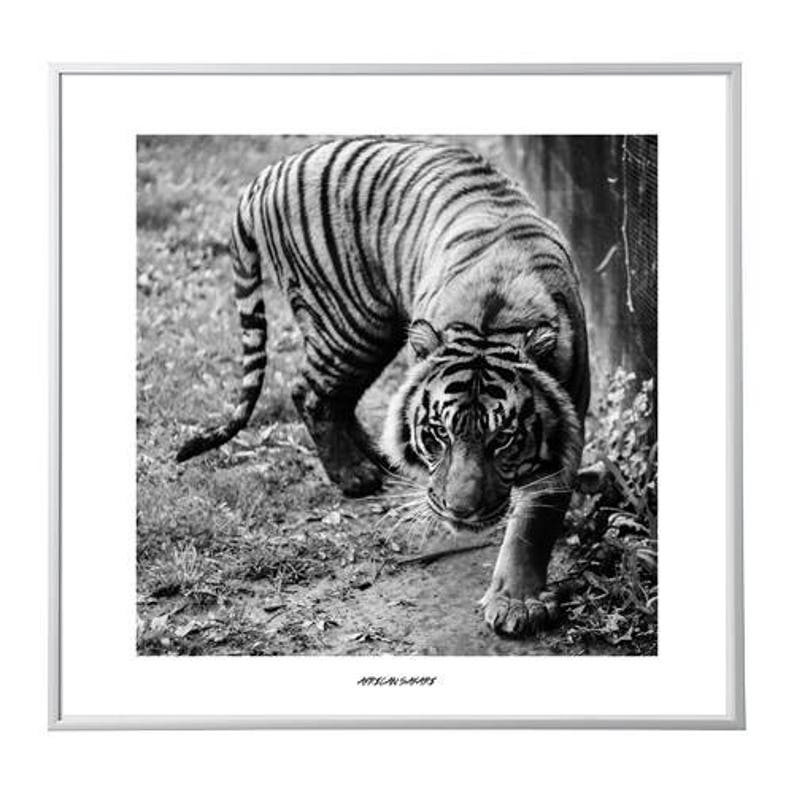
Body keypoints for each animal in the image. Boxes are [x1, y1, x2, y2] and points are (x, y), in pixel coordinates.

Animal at [176, 136, 590, 636]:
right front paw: (518, 604)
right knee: (310, 391)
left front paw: (516, 601)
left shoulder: (566, 427)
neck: (495, 315)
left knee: (336, 396)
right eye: (440, 433)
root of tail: (266, 176)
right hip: (352, 324)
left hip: (373, 330)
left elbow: (535, 522)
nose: (461, 511)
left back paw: (375, 458)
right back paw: (353, 475)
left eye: (504, 439)